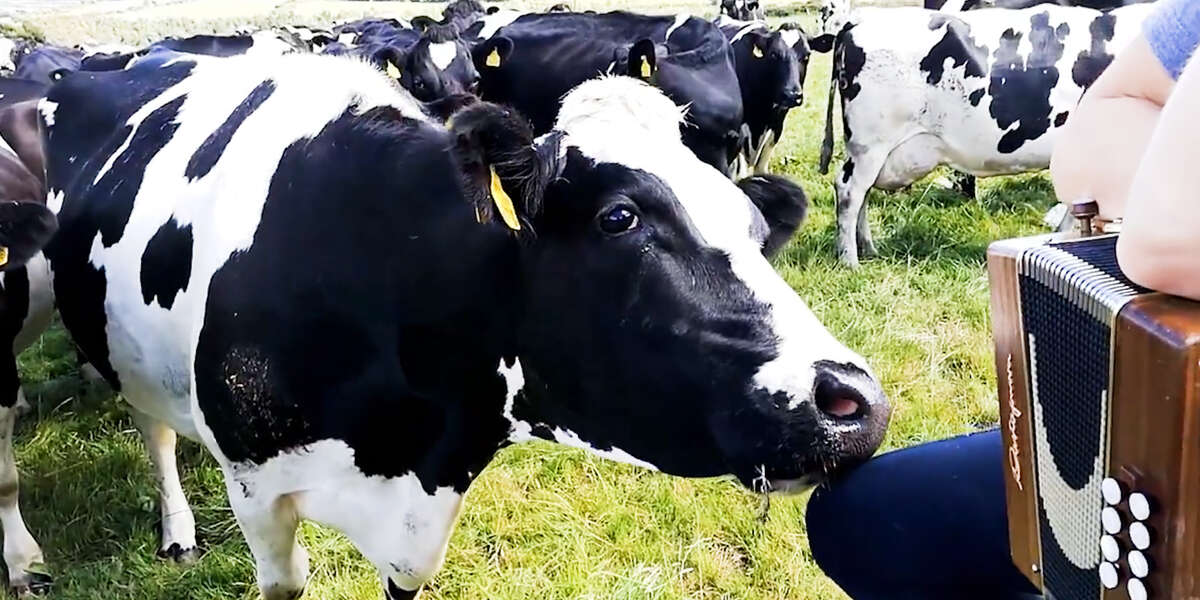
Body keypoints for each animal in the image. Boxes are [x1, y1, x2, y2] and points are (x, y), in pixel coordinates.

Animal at [18, 52, 890, 599]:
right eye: (620, 216)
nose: (859, 404)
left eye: (753, 226)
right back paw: (170, 527)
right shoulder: (259, 497)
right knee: (151, 428)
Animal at [817, 4, 1152, 266]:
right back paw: (850, 260)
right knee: (849, 191)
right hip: (869, 144)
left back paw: (868, 249)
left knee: (861, 194)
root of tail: (859, 20)